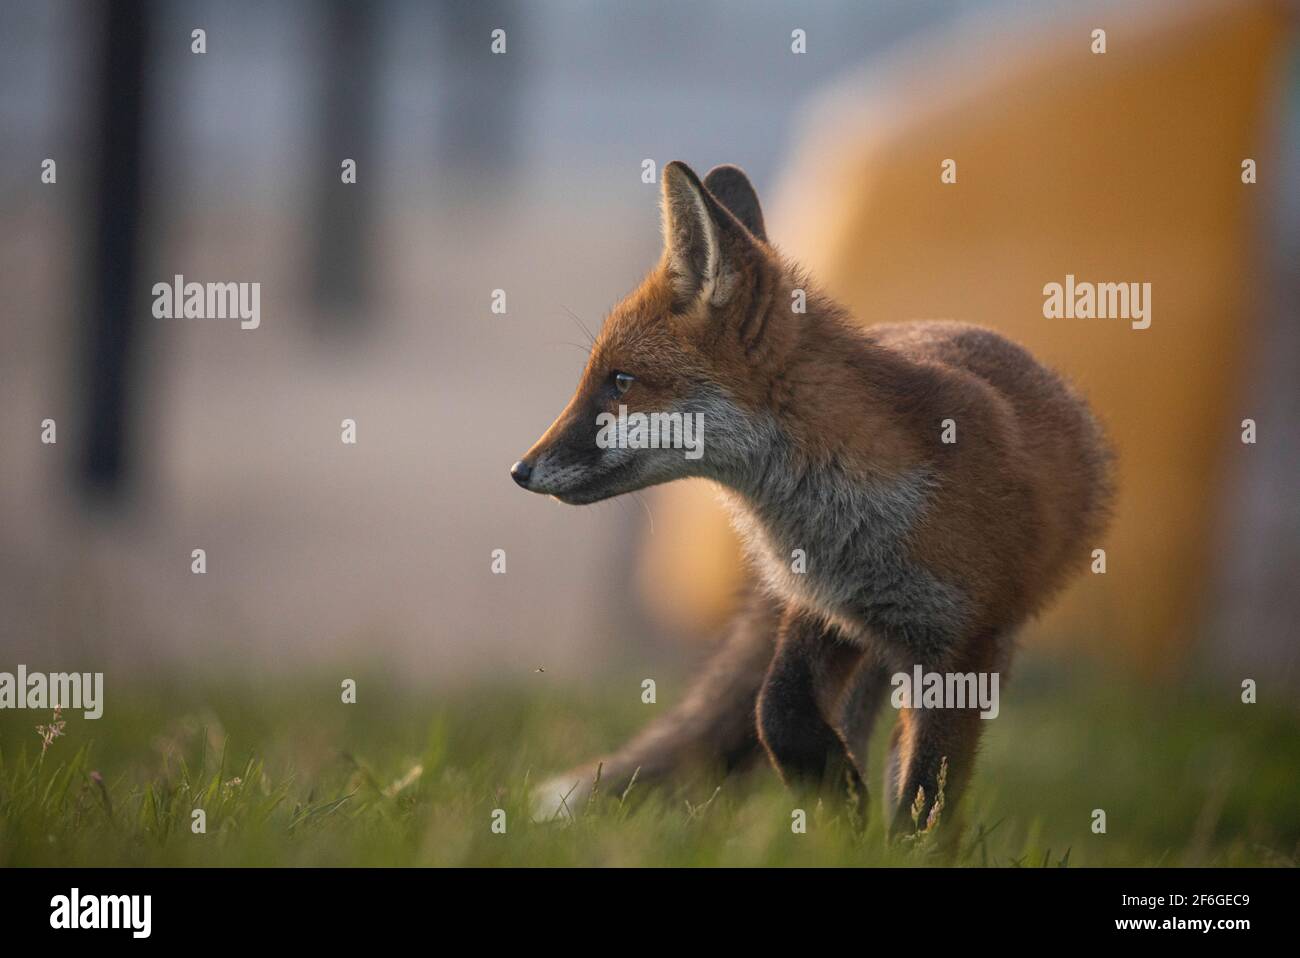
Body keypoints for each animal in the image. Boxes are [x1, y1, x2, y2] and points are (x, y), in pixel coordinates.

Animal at [511, 160, 1114, 838]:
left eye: (619, 382)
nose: (520, 470)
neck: (859, 517)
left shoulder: (966, 644)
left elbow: (928, 792)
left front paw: (901, 839)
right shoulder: (822, 607)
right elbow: (776, 711)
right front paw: (840, 800)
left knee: (904, 751)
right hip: (869, 645)